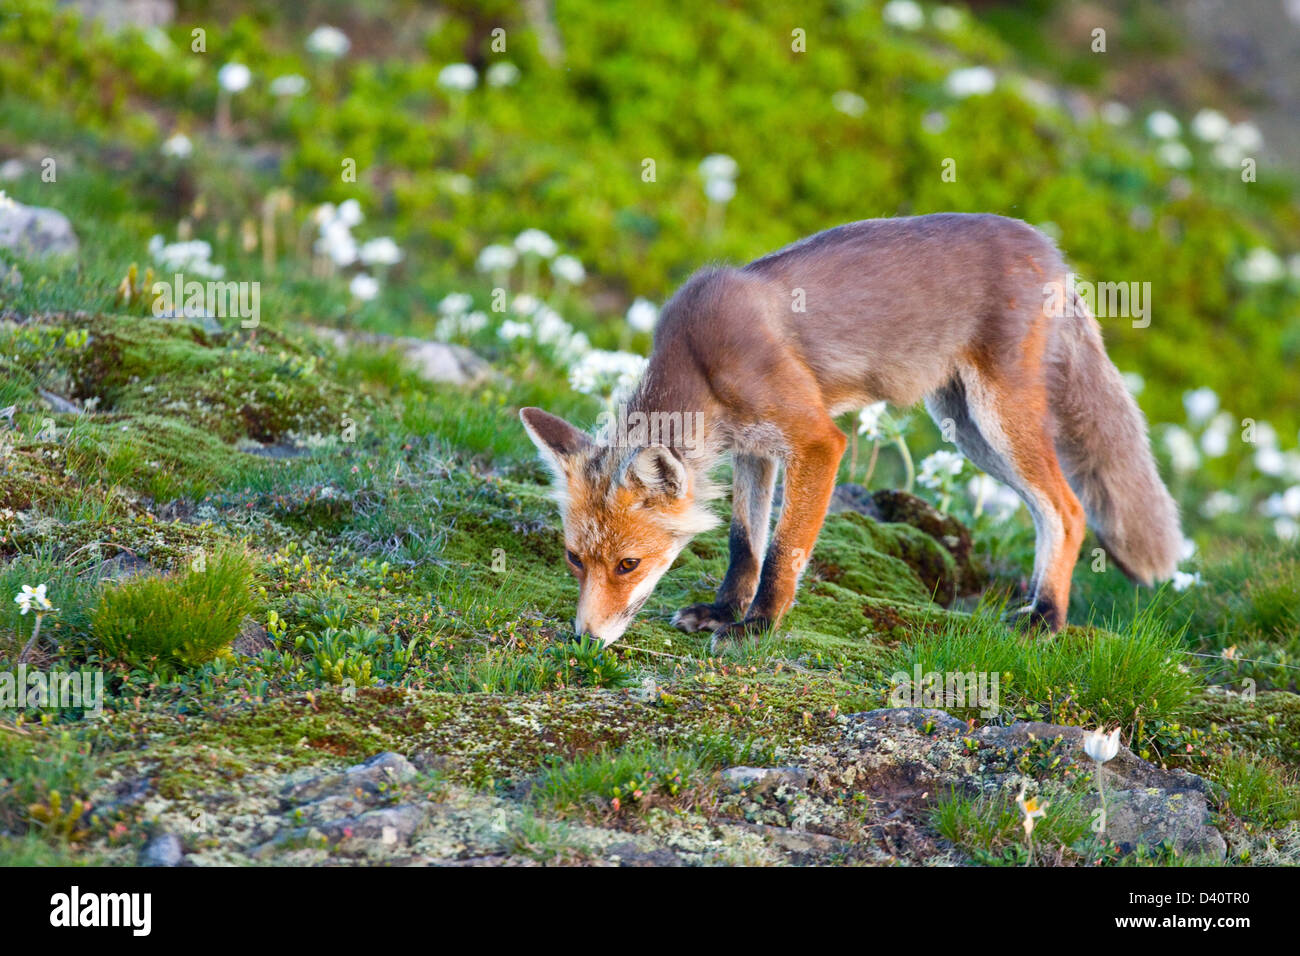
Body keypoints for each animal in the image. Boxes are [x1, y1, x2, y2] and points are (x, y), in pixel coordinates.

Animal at [521, 213, 1182, 649]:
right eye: (574, 558)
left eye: (628, 565)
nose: (583, 639)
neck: (699, 362)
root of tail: (1049, 247)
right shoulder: (755, 451)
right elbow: (744, 543)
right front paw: (723, 611)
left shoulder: (815, 441)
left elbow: (784, 550)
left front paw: (757, 627)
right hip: (966, 429)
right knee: (1053, 511)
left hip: (1000, 420)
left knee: (1069, 511)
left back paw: (1046, 618)